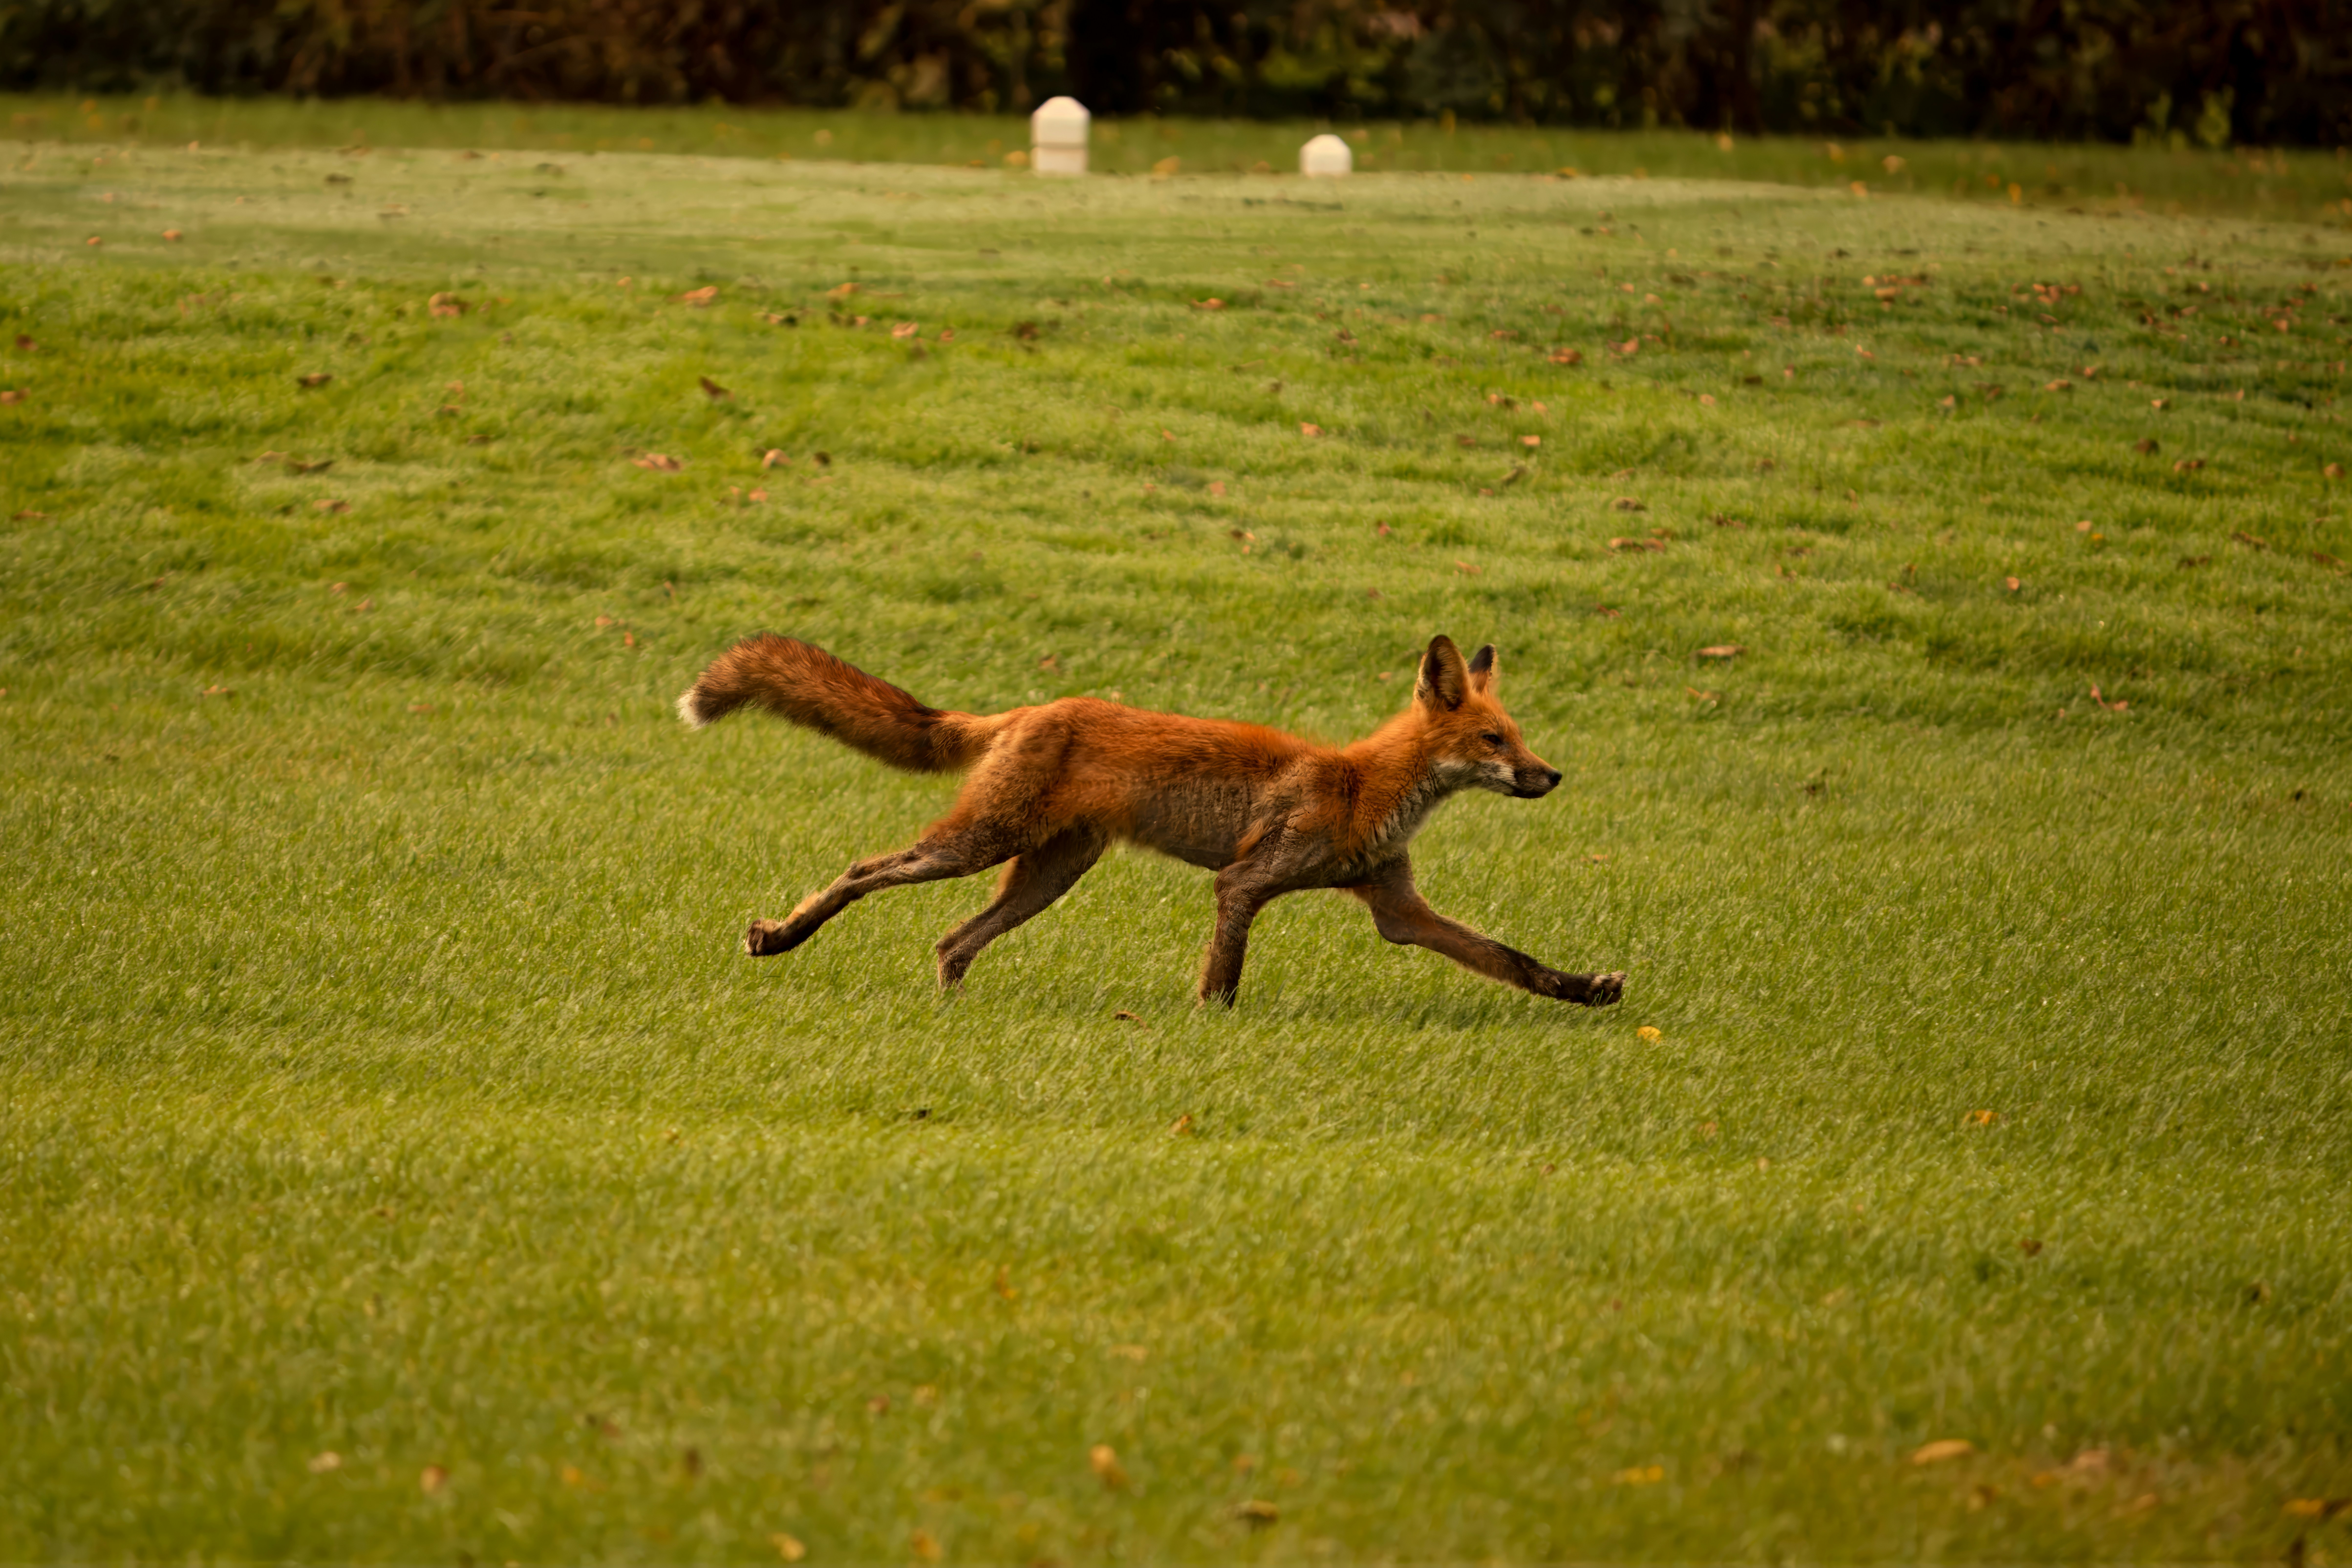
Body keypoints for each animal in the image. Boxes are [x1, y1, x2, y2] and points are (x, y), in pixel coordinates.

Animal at [676, 632, 1625, 1009]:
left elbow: (1510, 959)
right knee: (863, 871)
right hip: (979, 844)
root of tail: (1028, 708)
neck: (1362, 784)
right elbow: (1224, 975)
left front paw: (1586, 990)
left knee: (951, 940)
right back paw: (780, 938)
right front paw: (1212, 1031)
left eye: (1519, 736)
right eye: (1493, 739)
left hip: (1047, 874)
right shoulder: (1244, 881)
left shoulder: (1398, 908)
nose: (1550, 775)